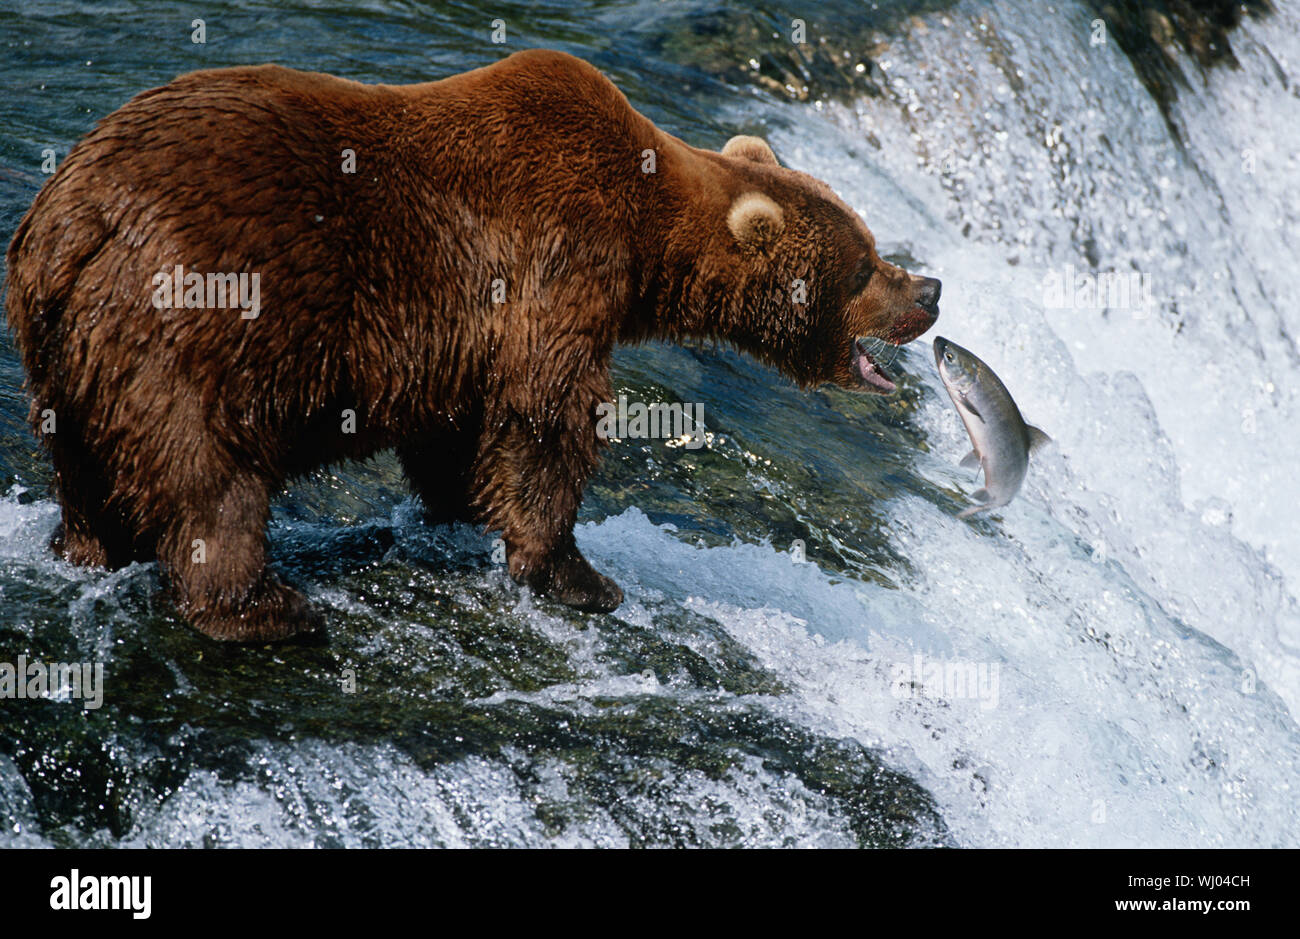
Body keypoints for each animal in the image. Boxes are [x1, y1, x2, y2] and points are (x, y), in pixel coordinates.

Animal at [4, 49, 939, 641]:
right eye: (864, 265)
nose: (929, 290)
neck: (646, 231)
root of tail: (70, 215)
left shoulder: (456, 335)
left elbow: (459, 428)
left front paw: (460, 508)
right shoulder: (559, 259)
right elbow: (546, 415)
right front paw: (579, 575)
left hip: (66, 347)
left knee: (85, 462)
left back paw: (87, 548)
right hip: (195, 319)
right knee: (208, 470)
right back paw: (264, 608)